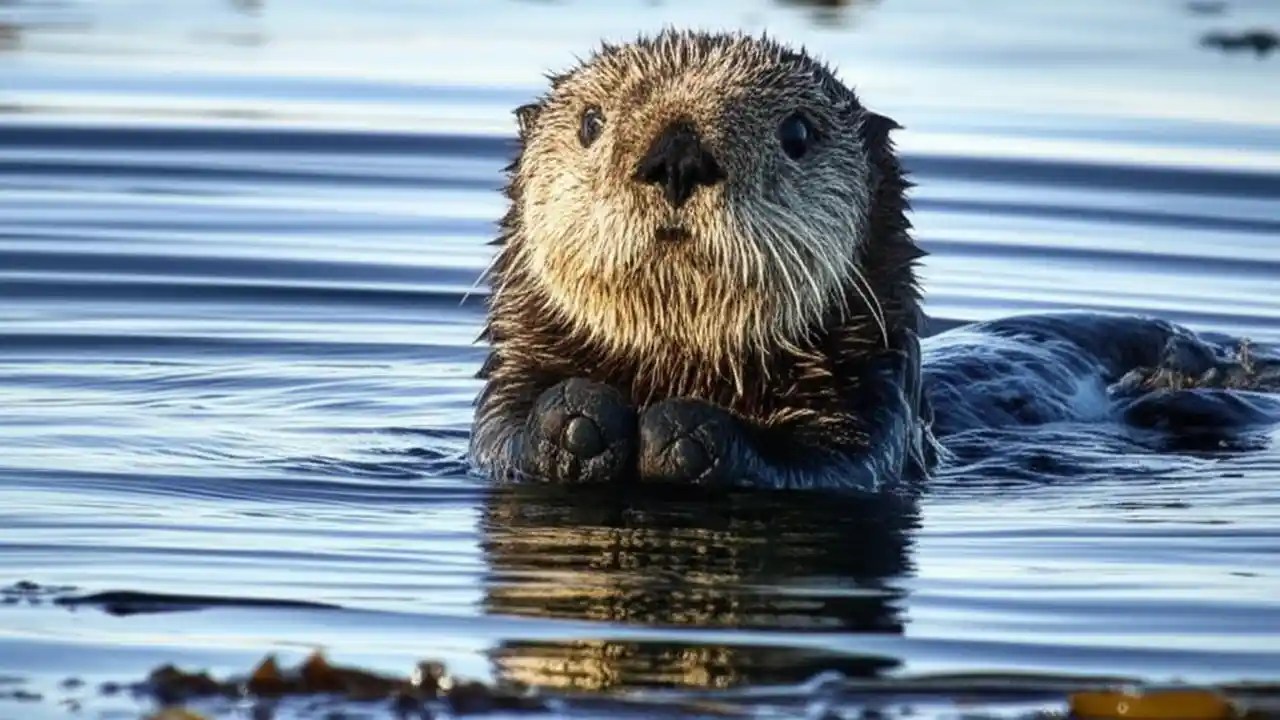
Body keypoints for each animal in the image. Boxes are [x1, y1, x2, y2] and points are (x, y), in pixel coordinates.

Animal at [469, 29, 932, 491]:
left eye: (797, 132)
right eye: (590, 123)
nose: (677, 158)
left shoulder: (867, 394)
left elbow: (833, 463)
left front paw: (682, 433)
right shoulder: (515, 372)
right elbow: (499, 434)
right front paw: (578, 419)